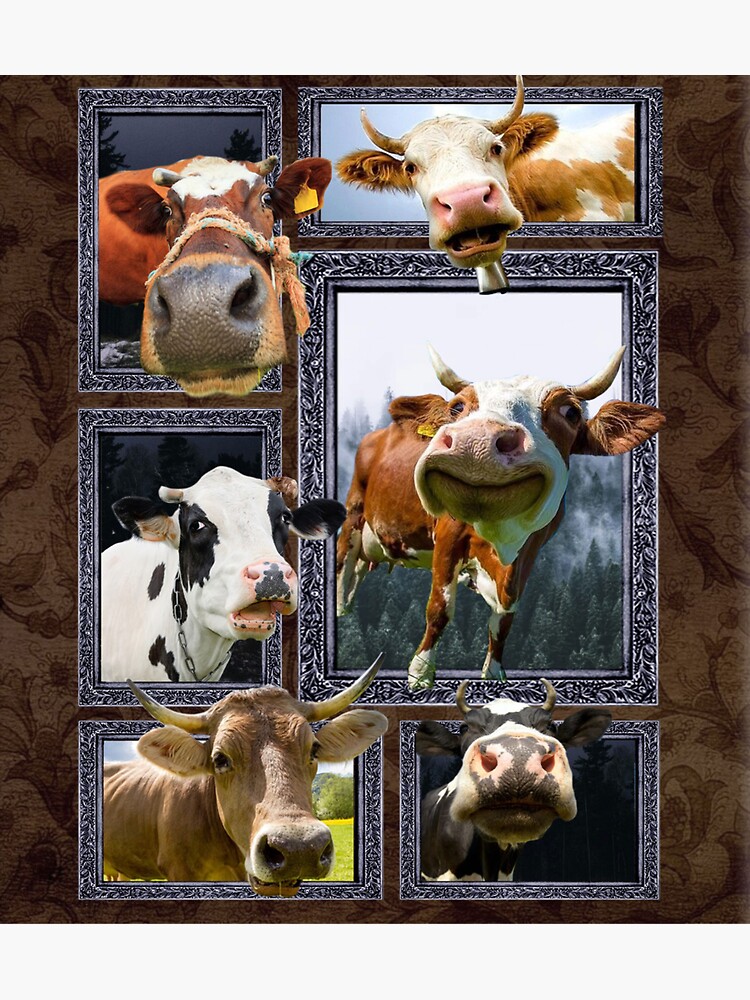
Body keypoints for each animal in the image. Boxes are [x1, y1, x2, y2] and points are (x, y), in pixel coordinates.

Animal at [336, 346, 665, 690]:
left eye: (570, 413)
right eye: (457, 407)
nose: (476, 442)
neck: (499, 539)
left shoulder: (531, 551)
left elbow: (504, 619)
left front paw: (493, 673)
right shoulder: (448, 538)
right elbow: (439, 608)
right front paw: (420, 673)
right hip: (353, 516)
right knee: (344, 574)